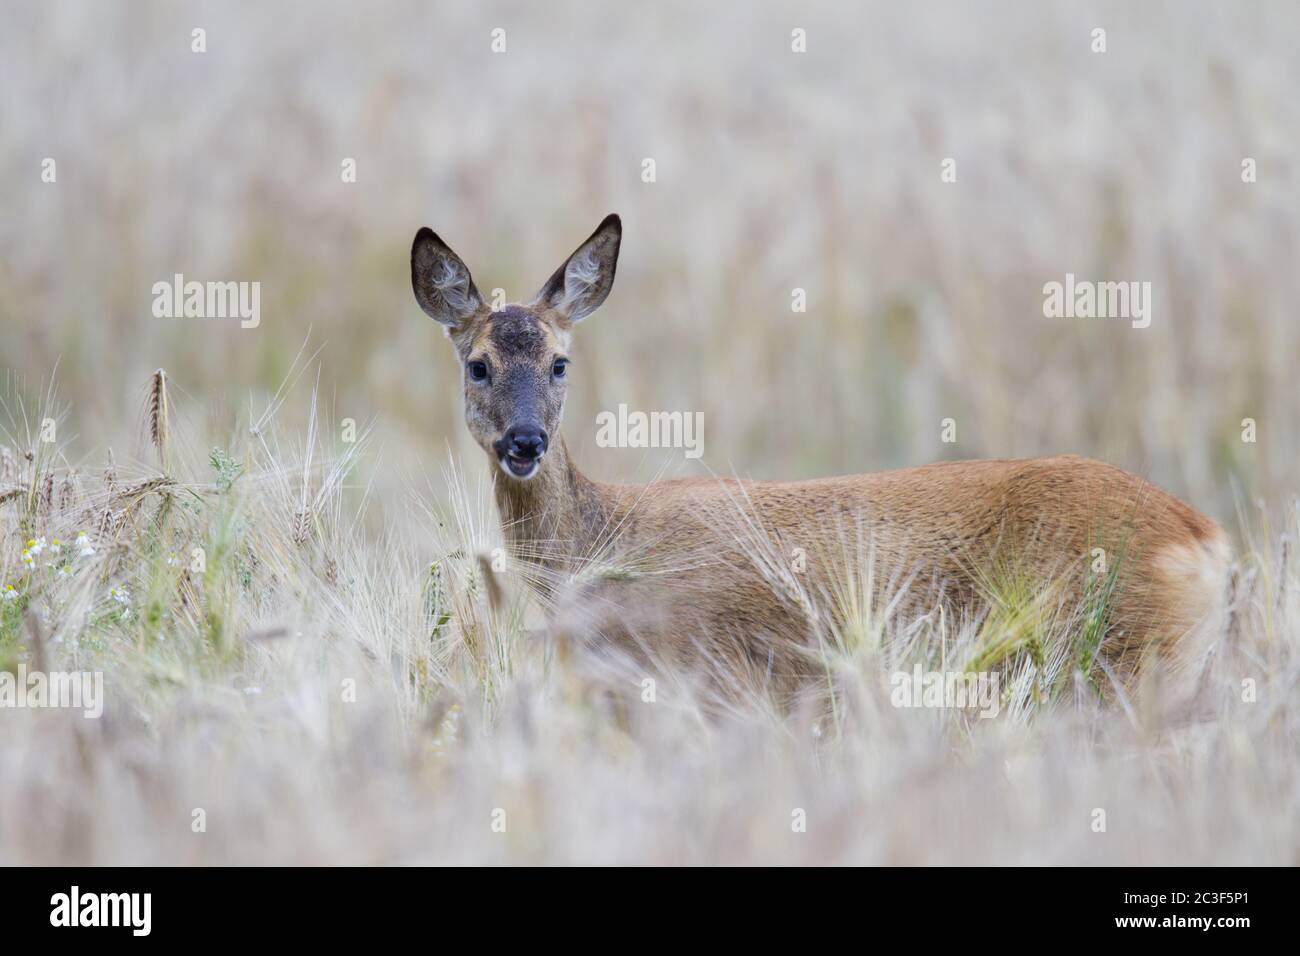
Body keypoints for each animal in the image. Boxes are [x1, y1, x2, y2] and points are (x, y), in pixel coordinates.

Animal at [411, 214, 1231, 705]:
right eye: (478, 365)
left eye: (560, 362)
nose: (525, 443)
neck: (602, 542)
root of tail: (1203, 534)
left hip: (1121, 666)